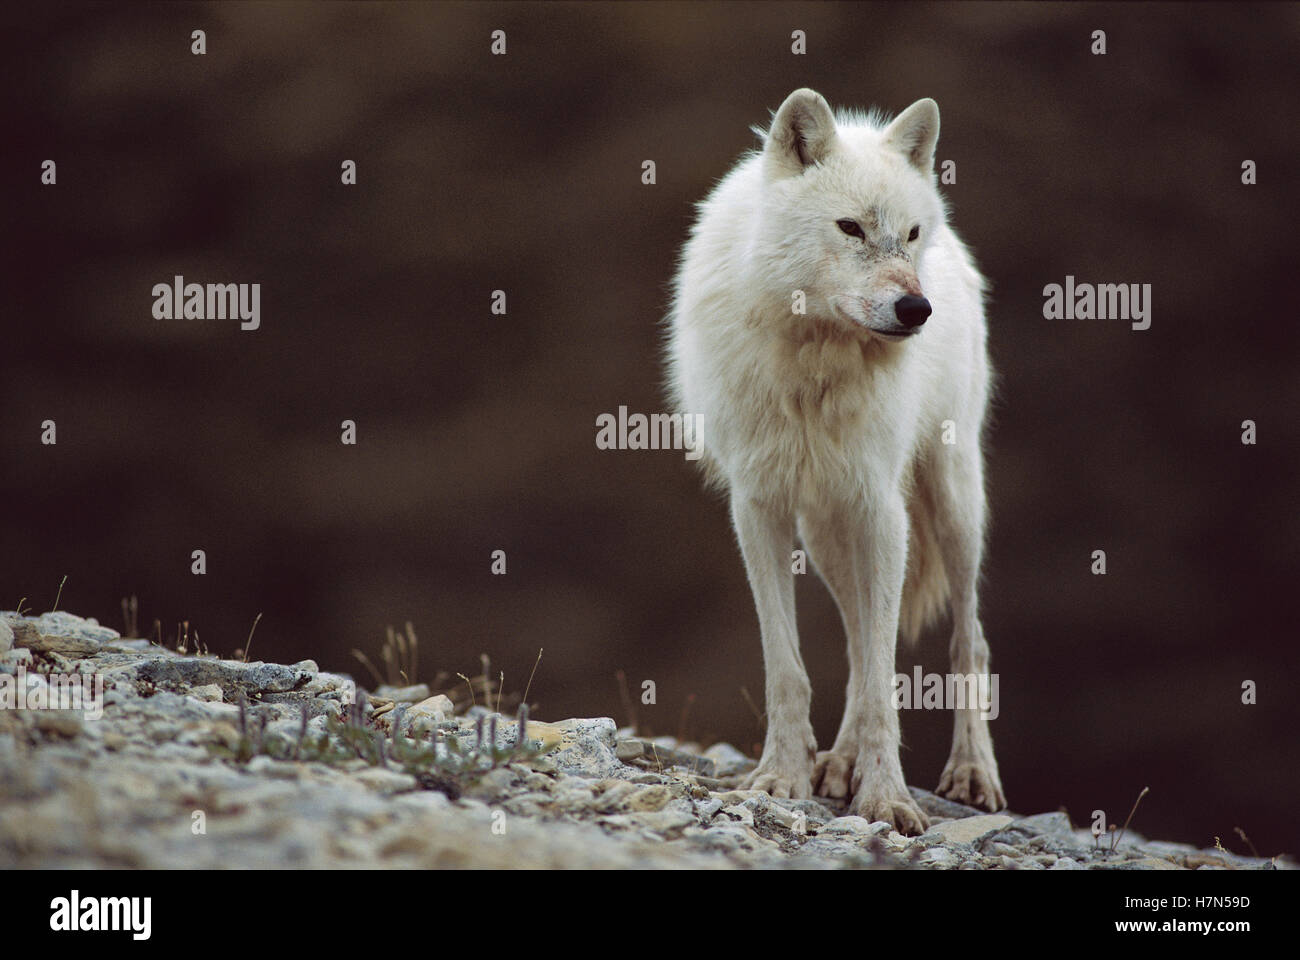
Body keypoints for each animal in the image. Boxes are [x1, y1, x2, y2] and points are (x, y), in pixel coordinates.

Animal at [665, 89, 1004, 834]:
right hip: (826, 532)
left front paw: (887, 799)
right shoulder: (758, 507)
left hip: (951, 505)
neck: (813, 353)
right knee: (855, 639)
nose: (916, 308)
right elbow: (788, 667)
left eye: (909, 234)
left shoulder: (881, 508)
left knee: (967, 638)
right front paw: (780, 777)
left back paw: (971, 772)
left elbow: (884, 681)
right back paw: (838, 764)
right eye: (850, 228)